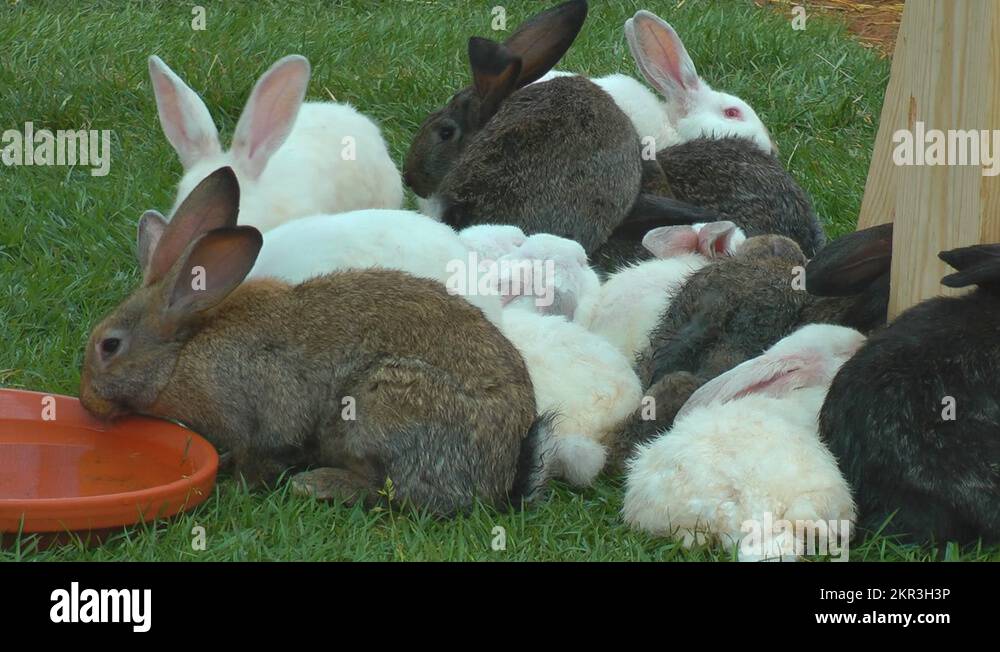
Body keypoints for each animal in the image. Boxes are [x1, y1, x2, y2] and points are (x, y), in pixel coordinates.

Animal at [83, 167, 552, 516]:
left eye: (110, 346)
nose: (88, 404)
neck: (181, 354)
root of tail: (503, 471)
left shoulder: (269, 413)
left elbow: (265, 454)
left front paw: (236, 485)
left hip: (381, 403)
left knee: (395, 492)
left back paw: (318, 484)